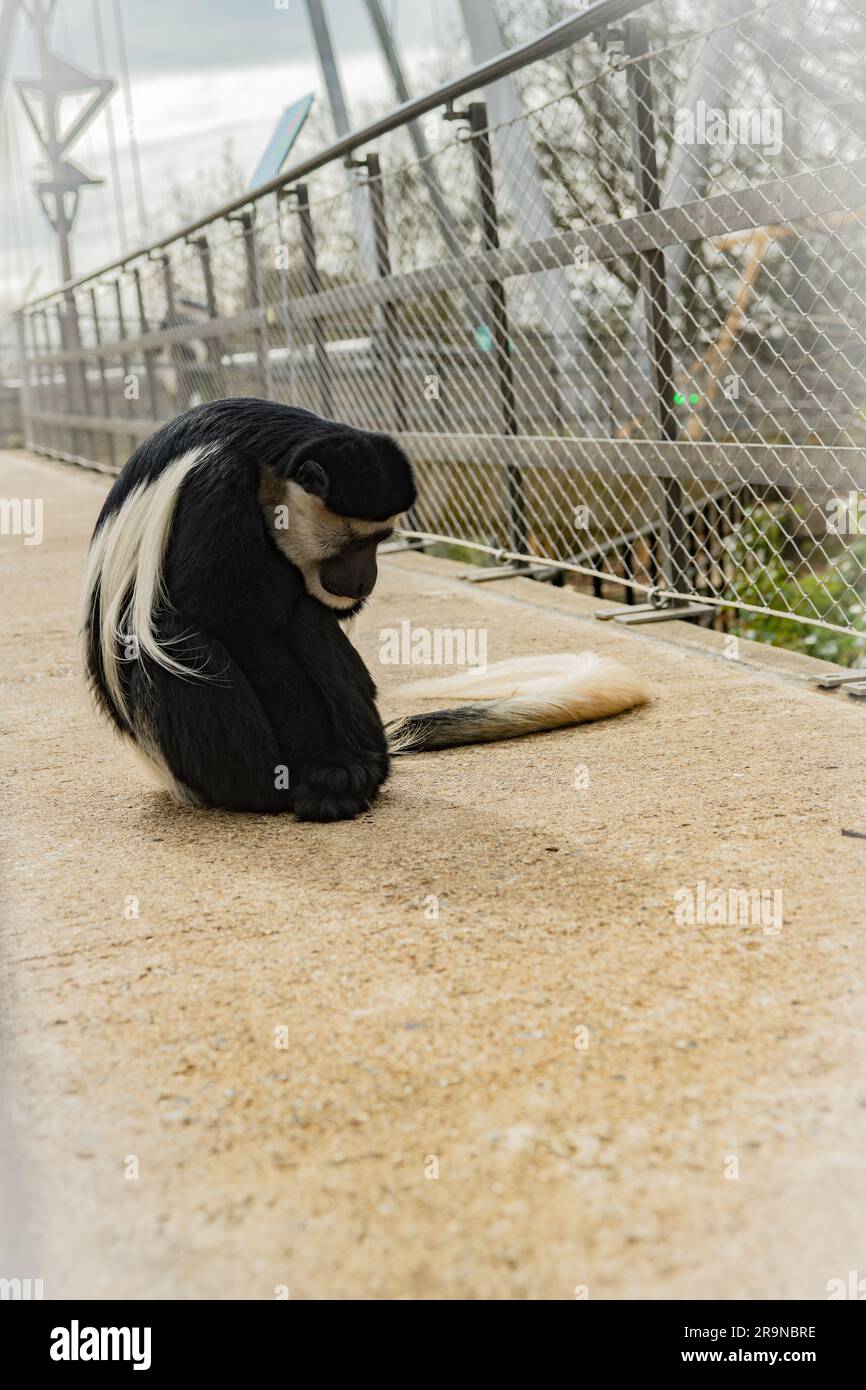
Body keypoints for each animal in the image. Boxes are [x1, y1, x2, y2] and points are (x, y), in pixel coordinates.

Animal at [81, 398, 648, 821]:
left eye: (382, 541)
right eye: (356, 541)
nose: (364, 579)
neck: (260, 461)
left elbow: (300, 616)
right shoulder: (213, 487)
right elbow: (231, 618)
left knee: (307, 620)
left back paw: (358, 771)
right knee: (179, 639)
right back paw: (288, 788)